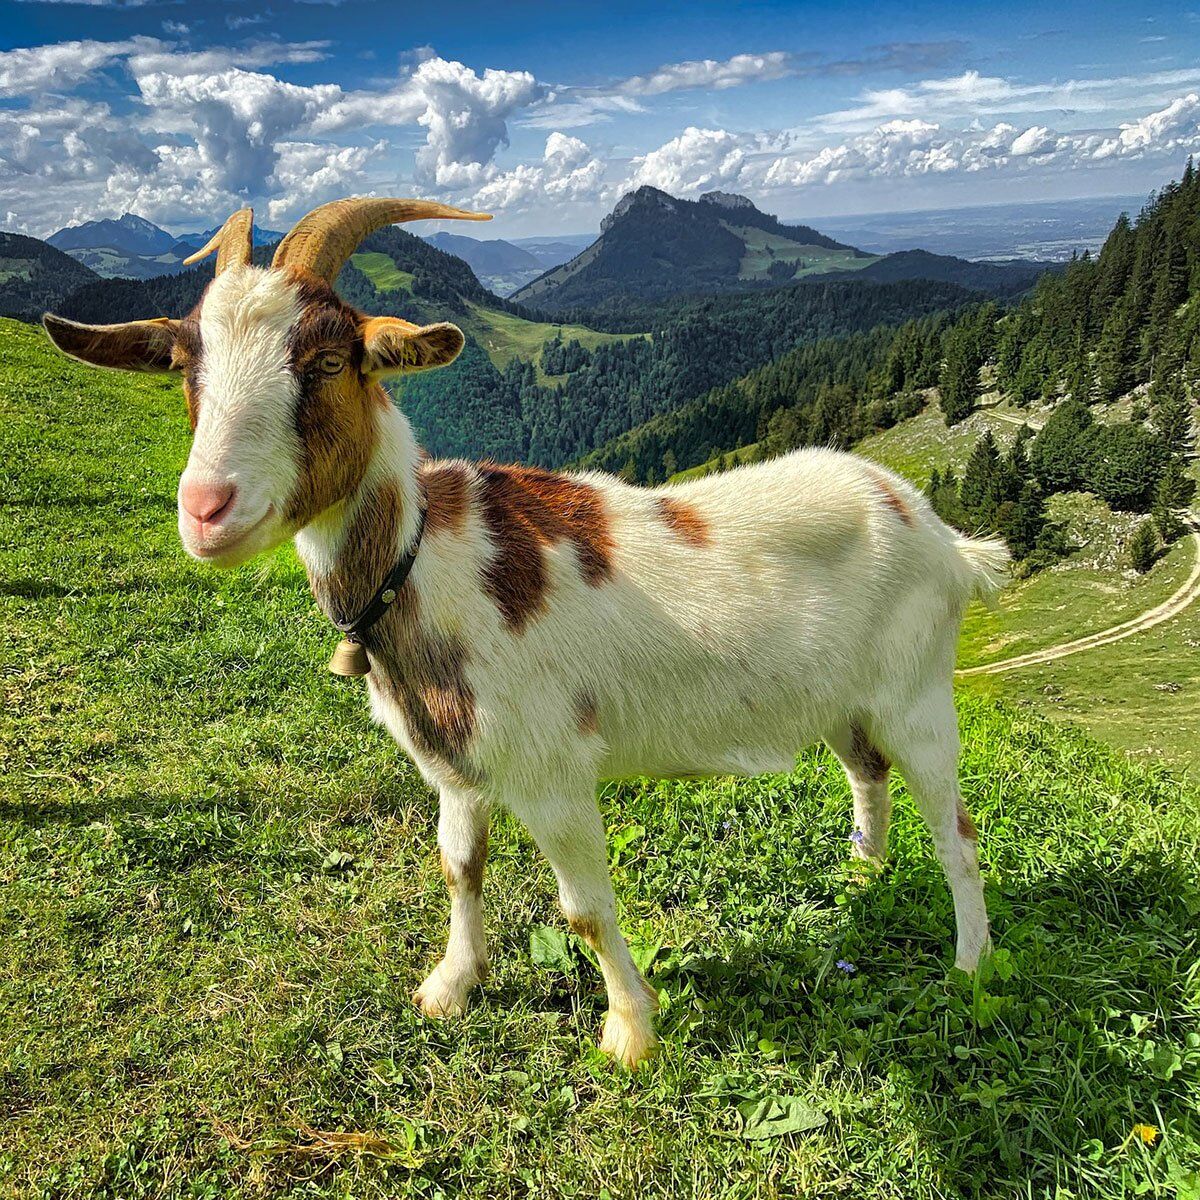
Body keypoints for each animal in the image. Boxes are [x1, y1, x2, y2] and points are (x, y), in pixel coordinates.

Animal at [43, 198, 1009, 1068]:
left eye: (328, 359)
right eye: (185, 363)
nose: (207, 511)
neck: (426, 562)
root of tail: (940, 532)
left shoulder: (553, 774)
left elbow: (583, 911)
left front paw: (629, 1036)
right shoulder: (455, 768)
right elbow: (459, 868)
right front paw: (451, 985)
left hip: (920, 694)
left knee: (955, 828)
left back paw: (971, 967)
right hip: (845, 701)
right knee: (867, 772)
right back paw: (863, 873)